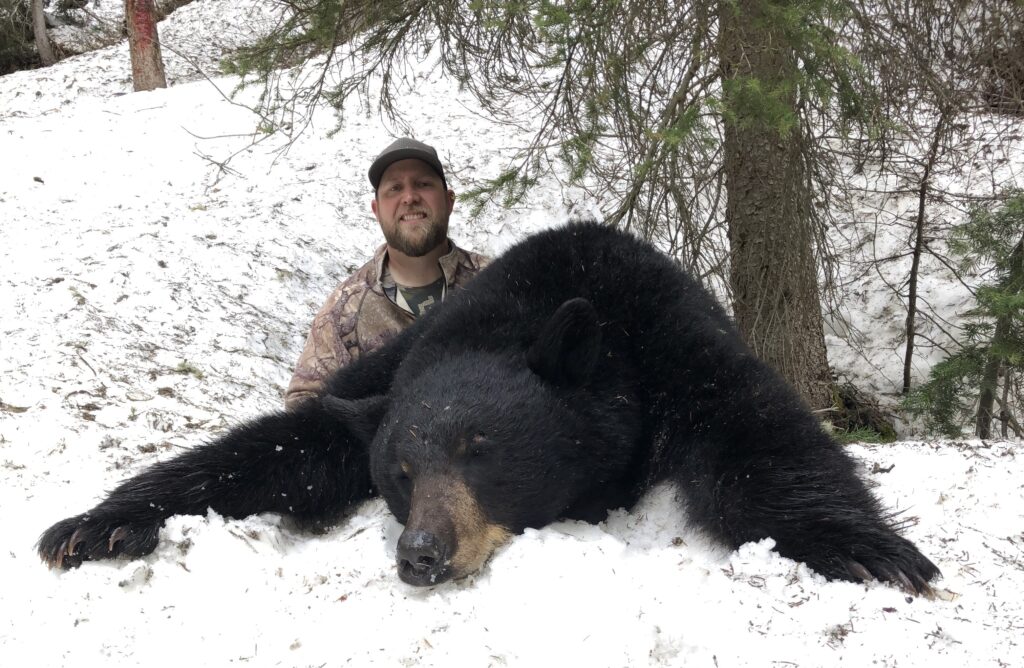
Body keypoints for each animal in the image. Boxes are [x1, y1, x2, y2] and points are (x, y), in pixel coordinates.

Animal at [38, 222, 940, 593]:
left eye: (482, 447)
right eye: (400, 472)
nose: (421, 553)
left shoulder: (674, 341)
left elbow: (756, 431)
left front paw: (869, 551)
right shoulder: (385, 377)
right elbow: (288, 446)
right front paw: (97, 524)